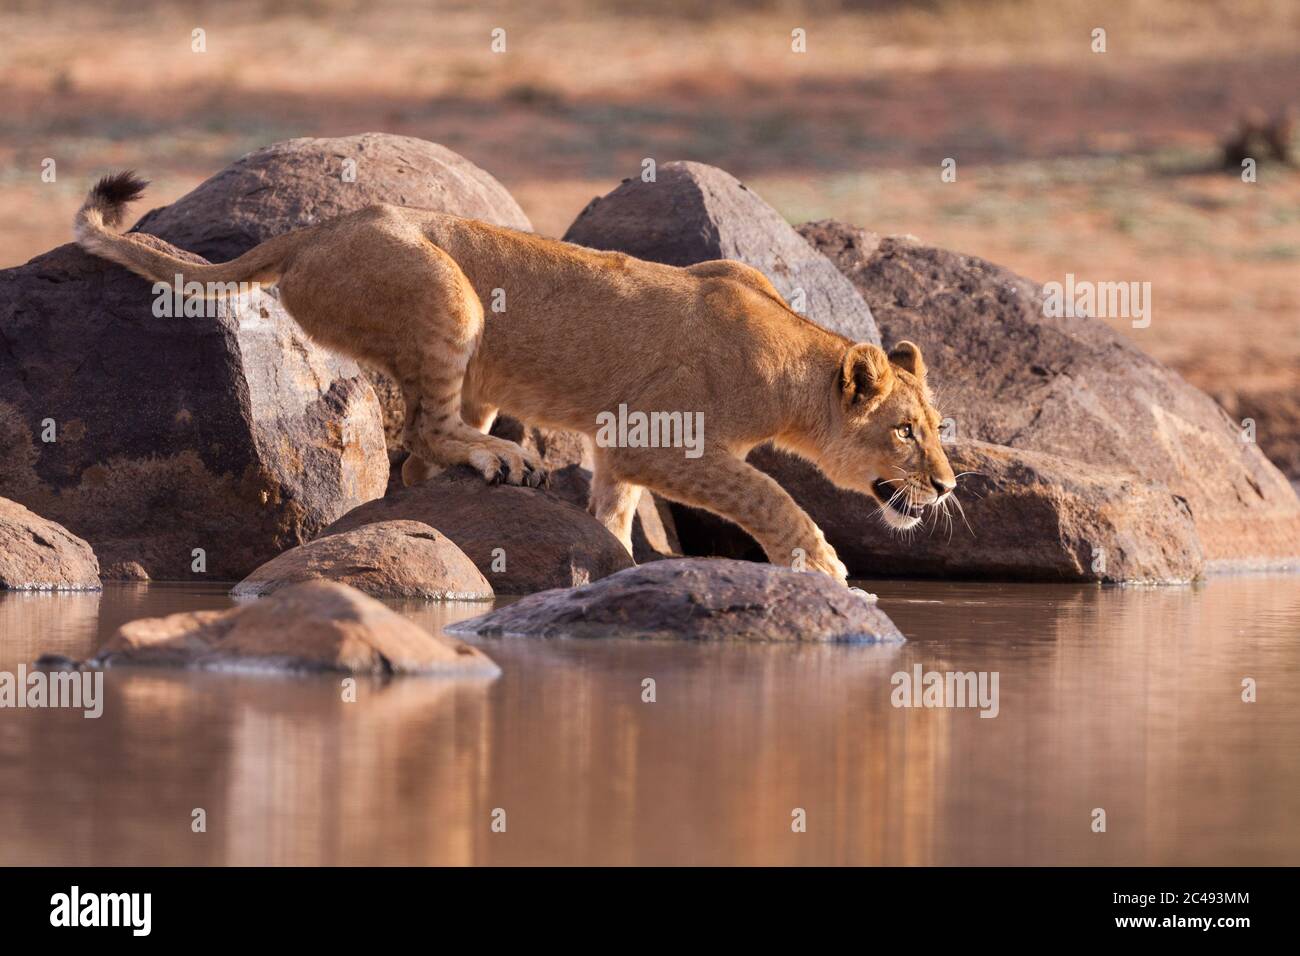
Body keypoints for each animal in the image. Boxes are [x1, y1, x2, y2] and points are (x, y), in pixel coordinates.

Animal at [74, 171, 957, 584]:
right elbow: (768, 493)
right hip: (453, 298)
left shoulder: (618, 447)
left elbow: (615, 510)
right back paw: (502, 456)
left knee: (417, 463)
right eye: (906, 432)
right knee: (425, 430)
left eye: (938, 428)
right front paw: (825, 567)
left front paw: (613, 566)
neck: (794, 367)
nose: (948, 485)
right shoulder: (661, 439)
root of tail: (319, 229)